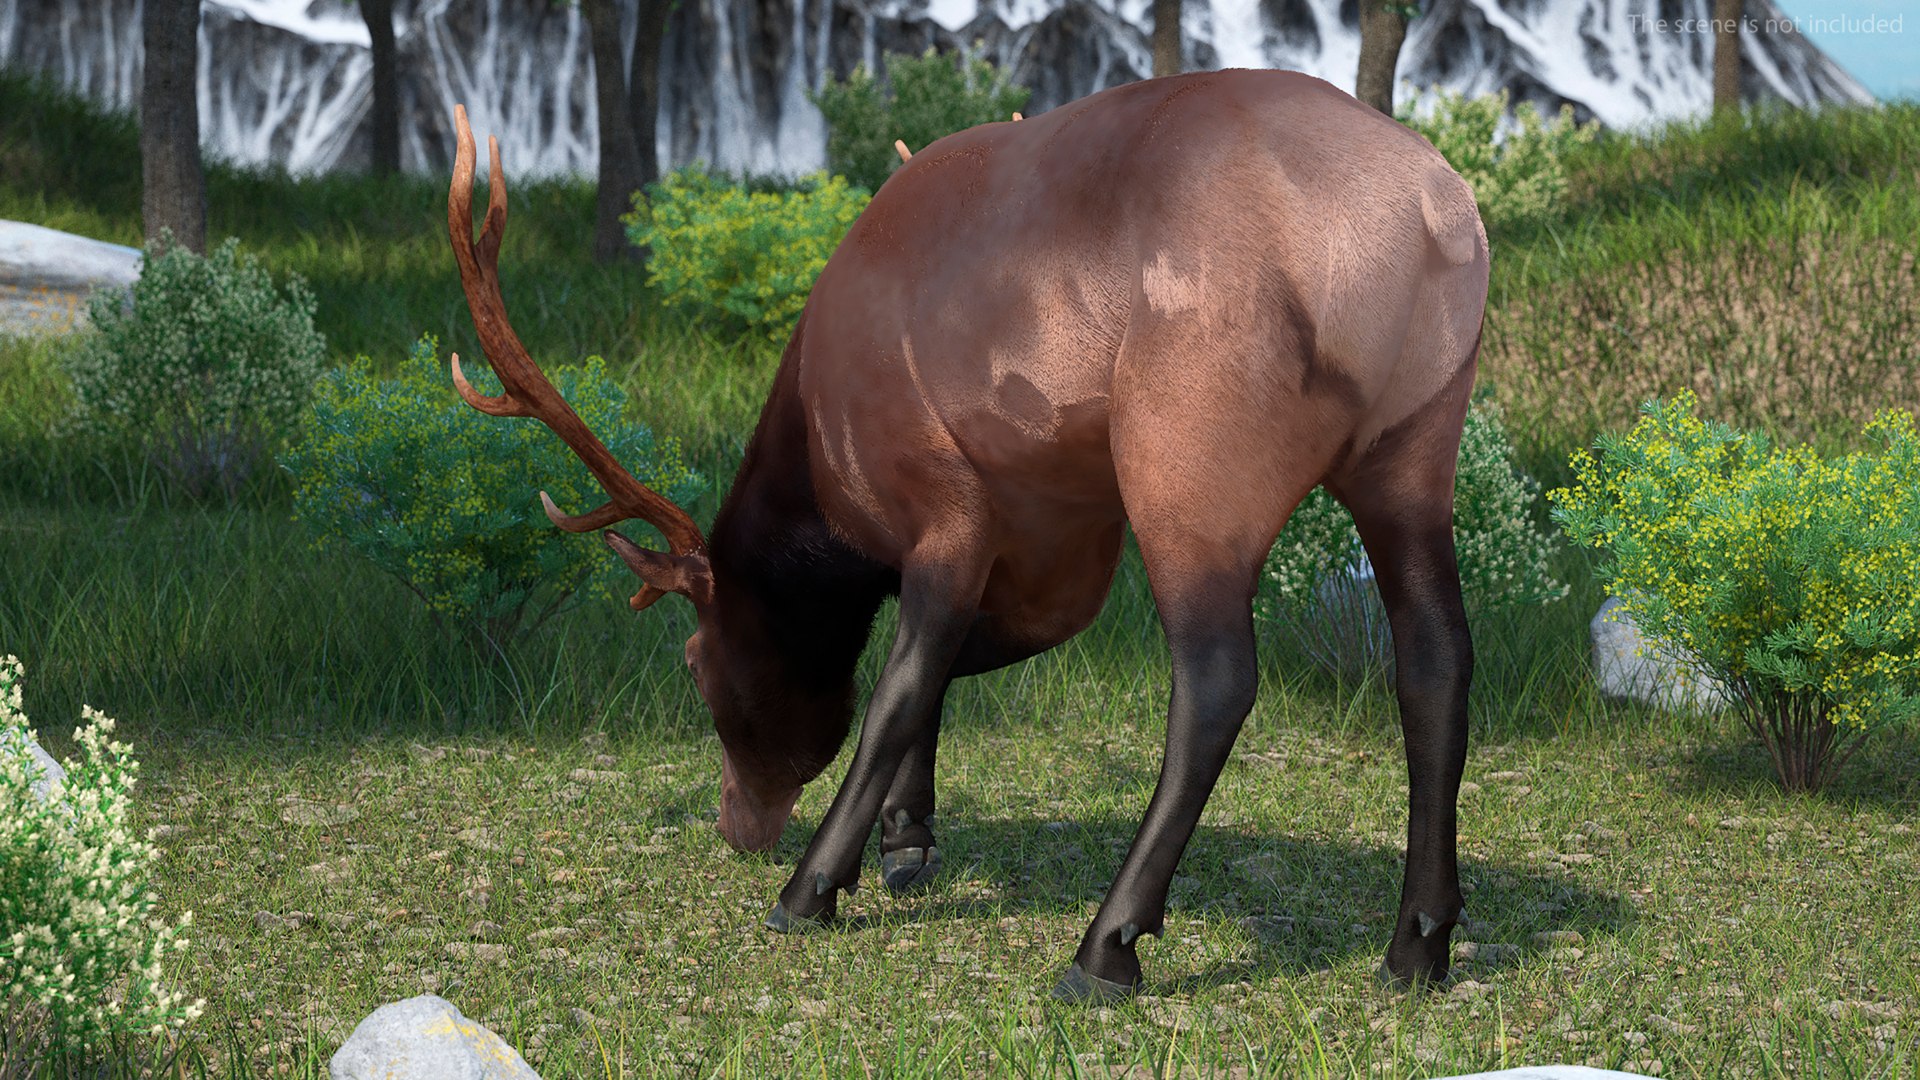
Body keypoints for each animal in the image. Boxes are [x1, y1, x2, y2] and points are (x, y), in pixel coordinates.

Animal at [446, 67, 1488, 1002]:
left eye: (697, 664)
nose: (737, 827)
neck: (823, 465)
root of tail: (1429, 217)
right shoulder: (1061, 528)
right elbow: (958, 662)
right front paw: (908, 836)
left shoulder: (944, 504)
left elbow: (898, 687)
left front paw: (817, 886)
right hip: (1413, 448)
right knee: (1436, 654)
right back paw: (1419, 944)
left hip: (1189, 454)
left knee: (1219, 679)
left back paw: (1104, 949)